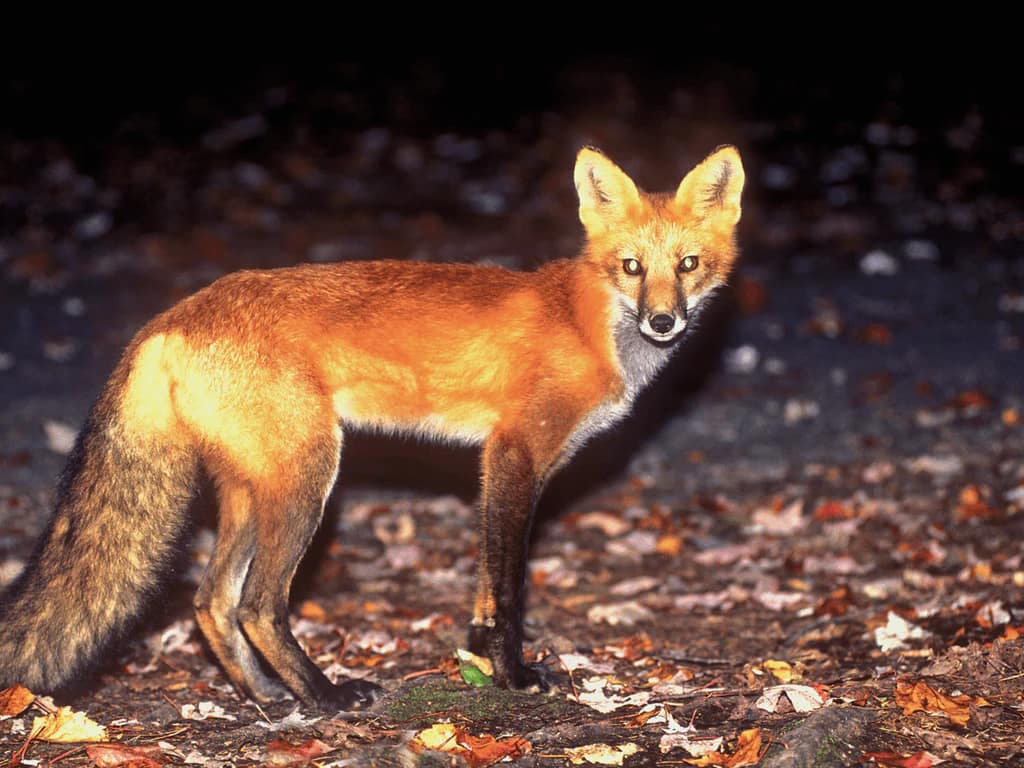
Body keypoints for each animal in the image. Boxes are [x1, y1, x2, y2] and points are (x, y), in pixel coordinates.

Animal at [0, 145, 744, 710]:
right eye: (631, 268)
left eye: (687, 265)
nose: (663, 322)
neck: (588, 324)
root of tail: (171, 316)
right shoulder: (515, 454)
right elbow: (508, 588)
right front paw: (513, 676)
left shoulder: (495, 465)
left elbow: (482, 587)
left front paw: (480, 655)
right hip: (307, 481)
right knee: (257, 605)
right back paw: (324, 696)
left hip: (249, 492)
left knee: (211, 601)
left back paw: (264, 698)